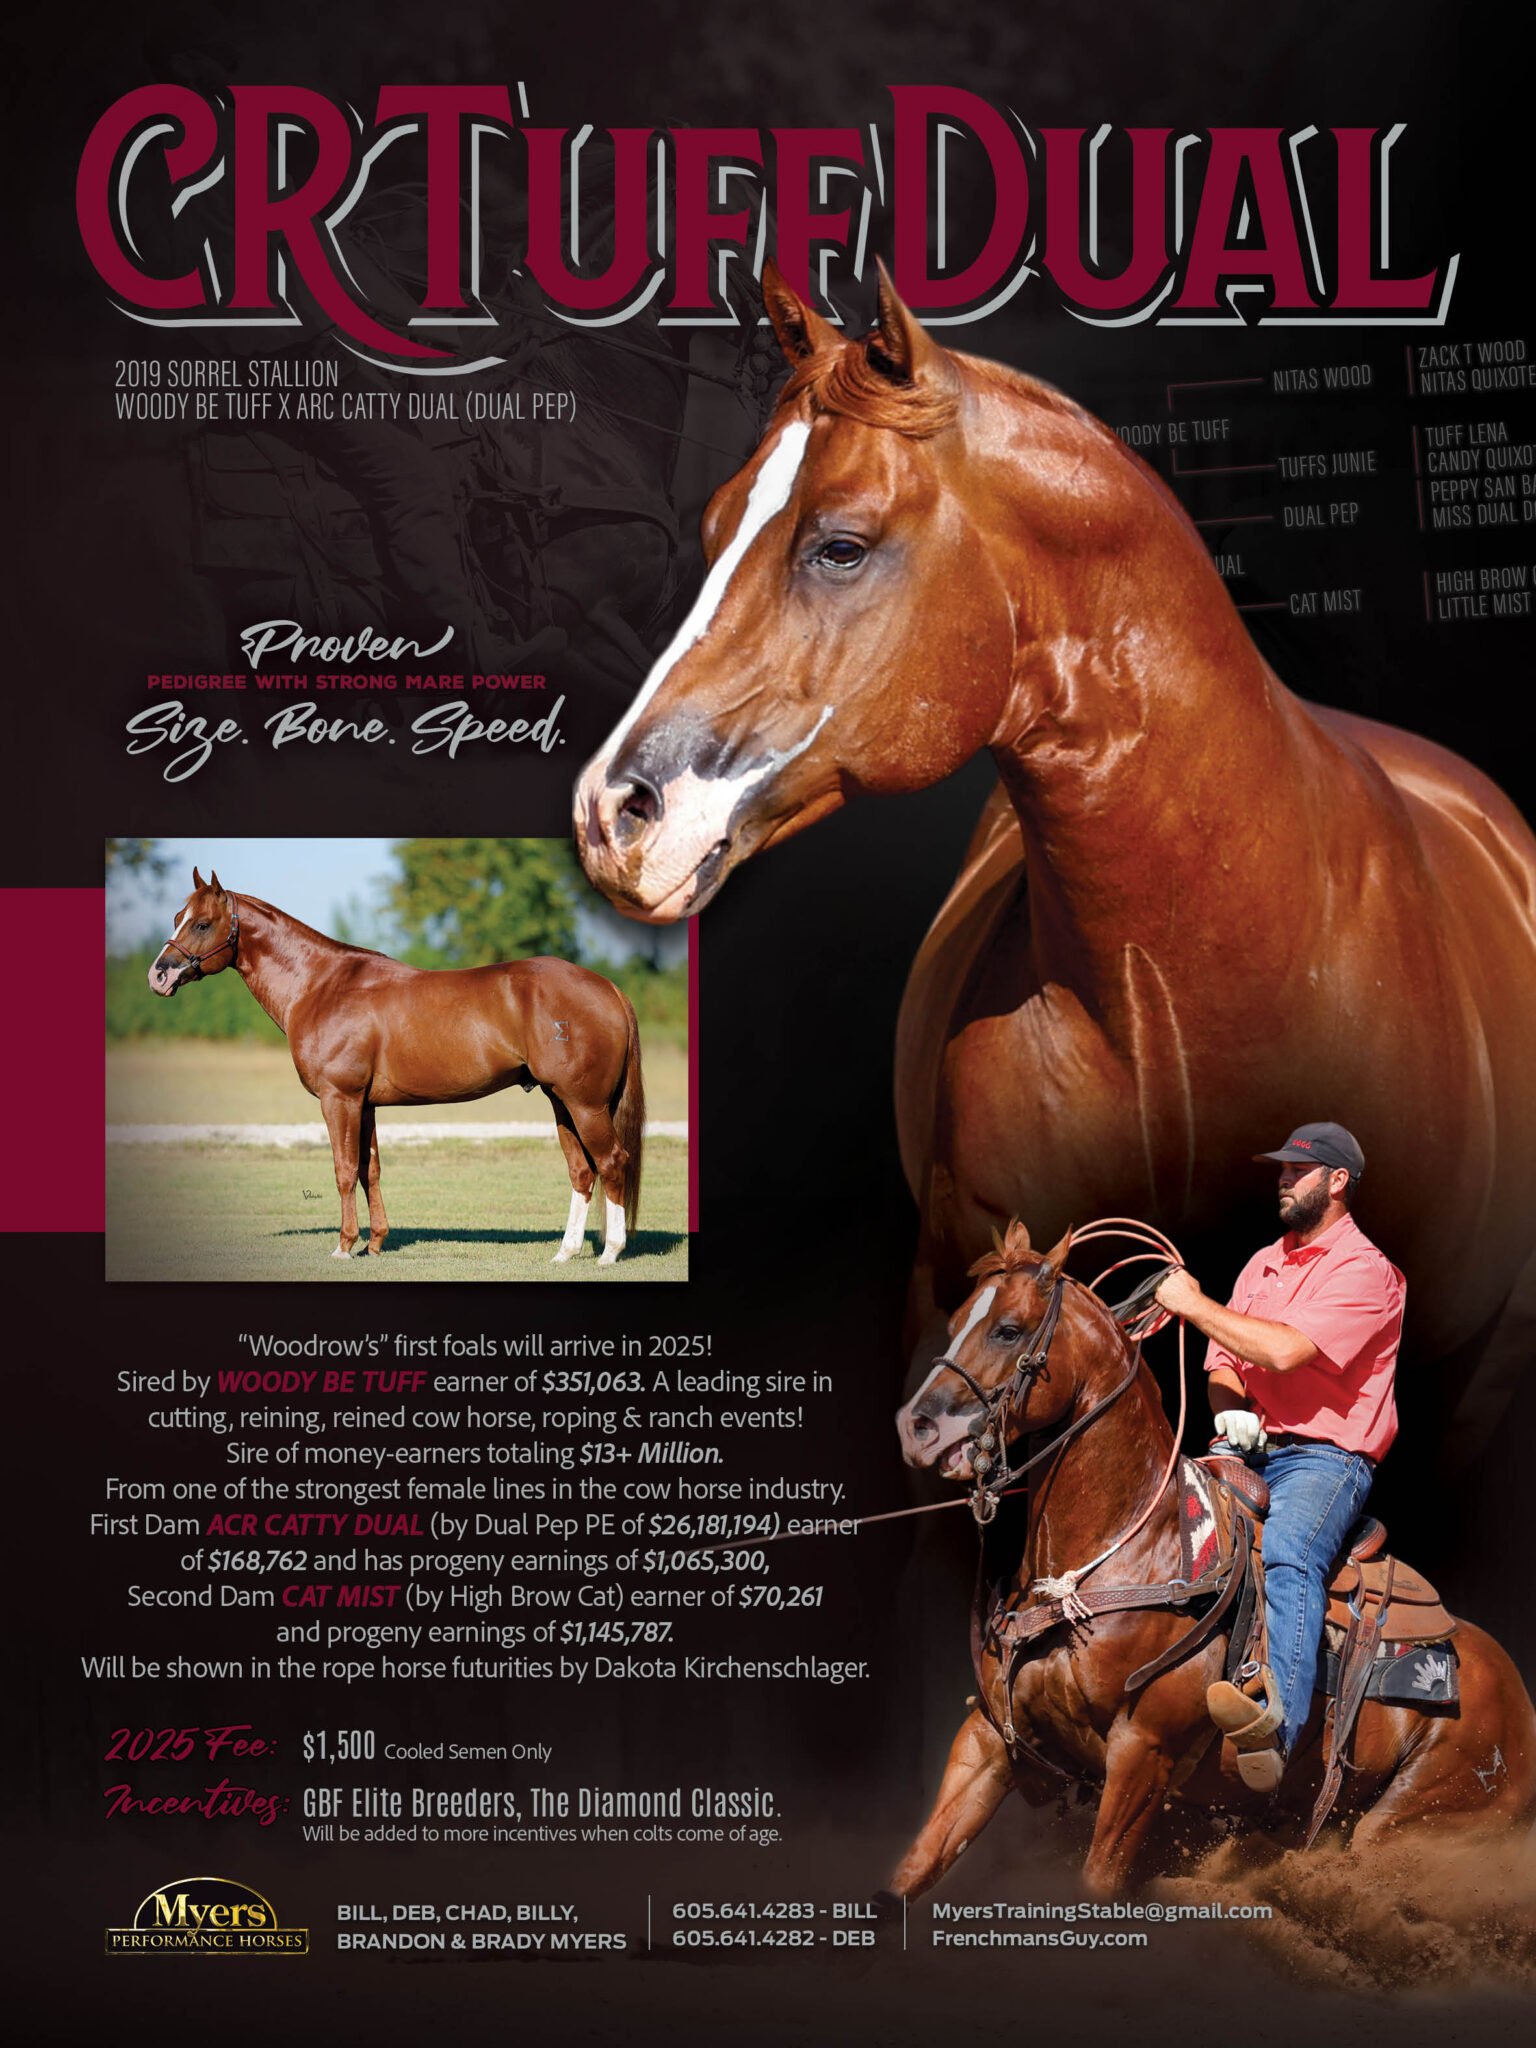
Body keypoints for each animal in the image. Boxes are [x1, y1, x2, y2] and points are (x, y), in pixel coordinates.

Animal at [146, 870, 643, 1264]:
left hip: (585, 1105)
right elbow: (371, 1170)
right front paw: (375, 1243)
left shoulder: (339, 1099)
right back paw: (566, 1252)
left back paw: (610, 1253)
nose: (159, 975)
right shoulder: (365, 1105)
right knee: (583, 1172)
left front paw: (344, 1246)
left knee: (612, 1161)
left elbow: (344, 1169)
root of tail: (609, 987)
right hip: (562, 1103)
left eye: (202, 923)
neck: (321, 985)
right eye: (176, 918)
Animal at [883, 1219, 1536, 1901]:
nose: (915, 1426)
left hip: (1410, 1820)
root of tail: (1515, 1693)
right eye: (957, 1319)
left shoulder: (1143, 1755)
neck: (1127, 1556)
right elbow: (914, 1870)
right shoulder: (987, 1740)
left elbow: (1099, 1878)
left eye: (1008, 1328)